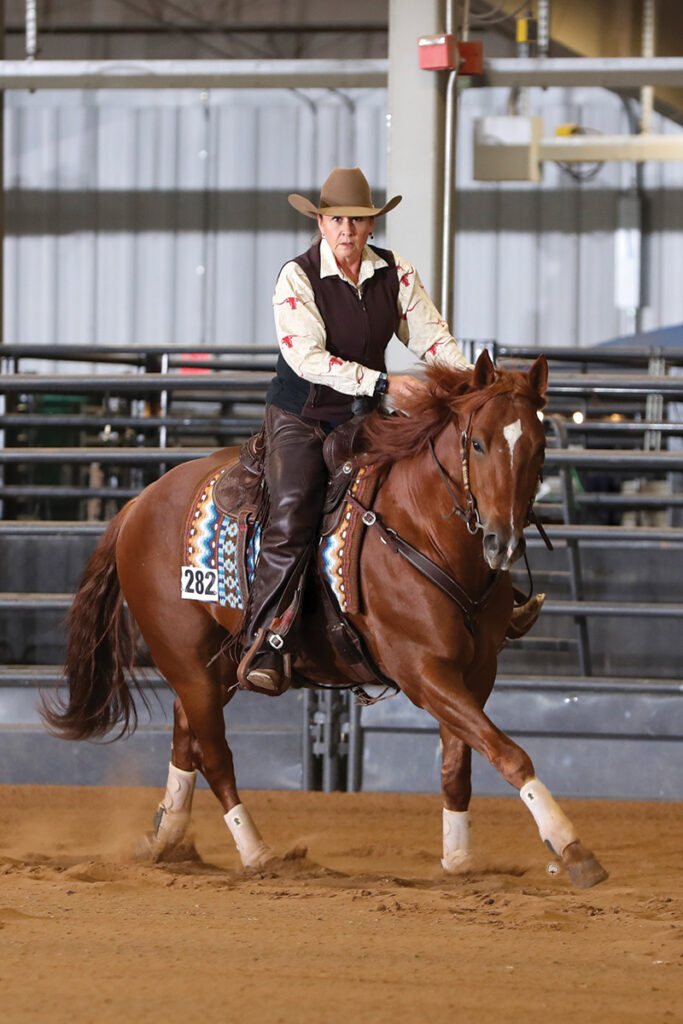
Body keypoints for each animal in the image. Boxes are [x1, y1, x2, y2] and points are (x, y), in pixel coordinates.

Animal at [43, 351, 608, 888]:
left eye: (538, 448)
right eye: (479, 444)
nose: (502, 542)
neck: (420, 526)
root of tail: (138, 504)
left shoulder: (475, 672)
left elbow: (460, 763)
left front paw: (460, 861)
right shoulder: (423, 671)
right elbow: (507, 753)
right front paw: (573, 848)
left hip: (213, 664)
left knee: (188, 741)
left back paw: (165, 841)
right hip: (185, 659)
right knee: (216, 755)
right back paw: (257, 854)